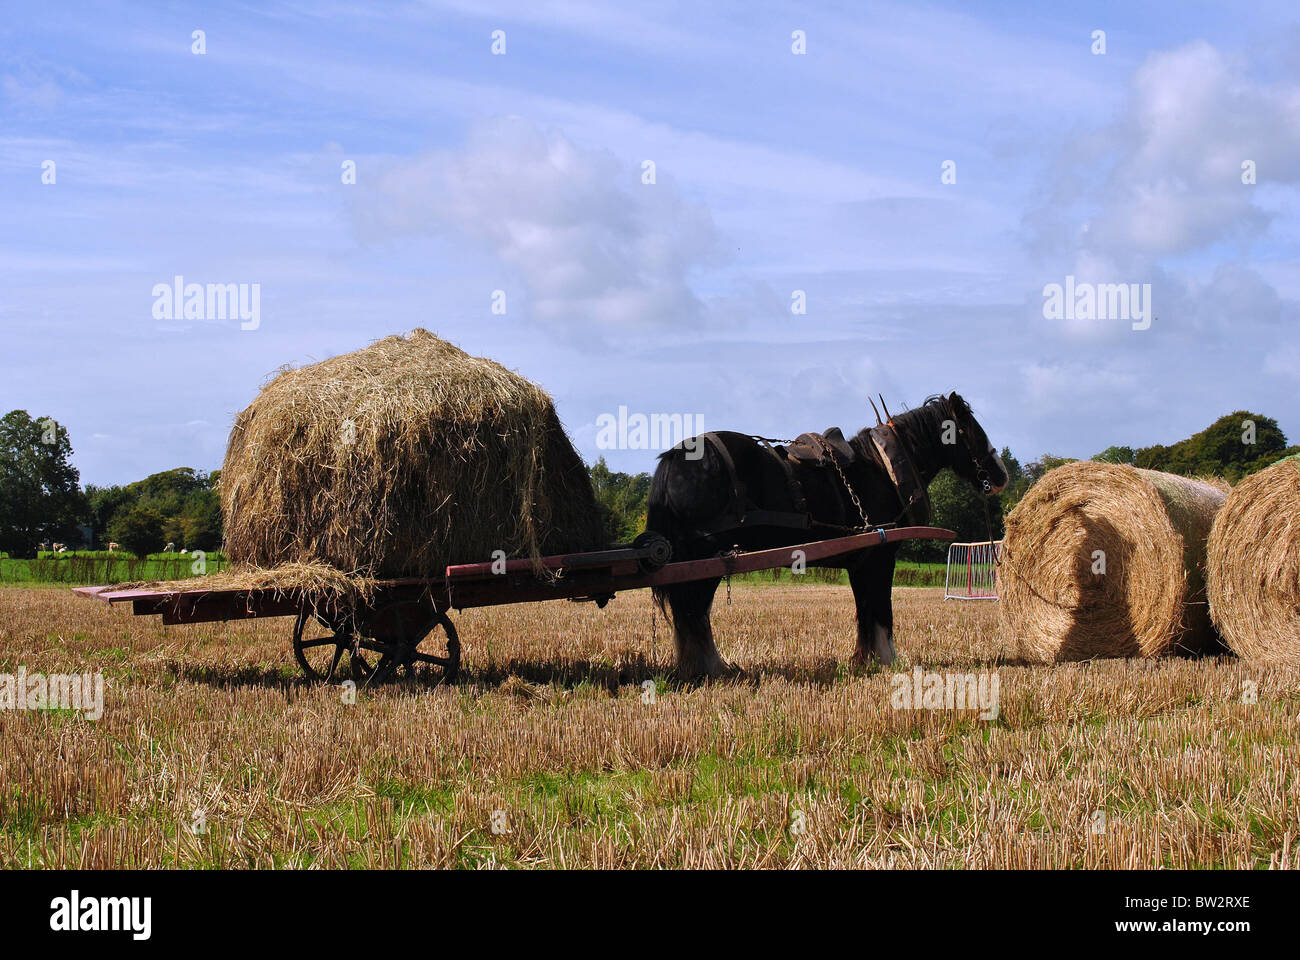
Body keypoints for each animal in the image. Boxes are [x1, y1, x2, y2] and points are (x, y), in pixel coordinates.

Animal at [646, 392, 1008, 679]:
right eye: (972, 430)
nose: (1001, 475)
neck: (883, 469)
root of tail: (676, 457)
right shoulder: (880, 557)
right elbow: (881, 610)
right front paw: (888, 658)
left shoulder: (862, 561)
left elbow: (865, 610)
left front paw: (865, 659)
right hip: (705, 556)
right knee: (693, 611)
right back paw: (710, 667)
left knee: (689, 613)